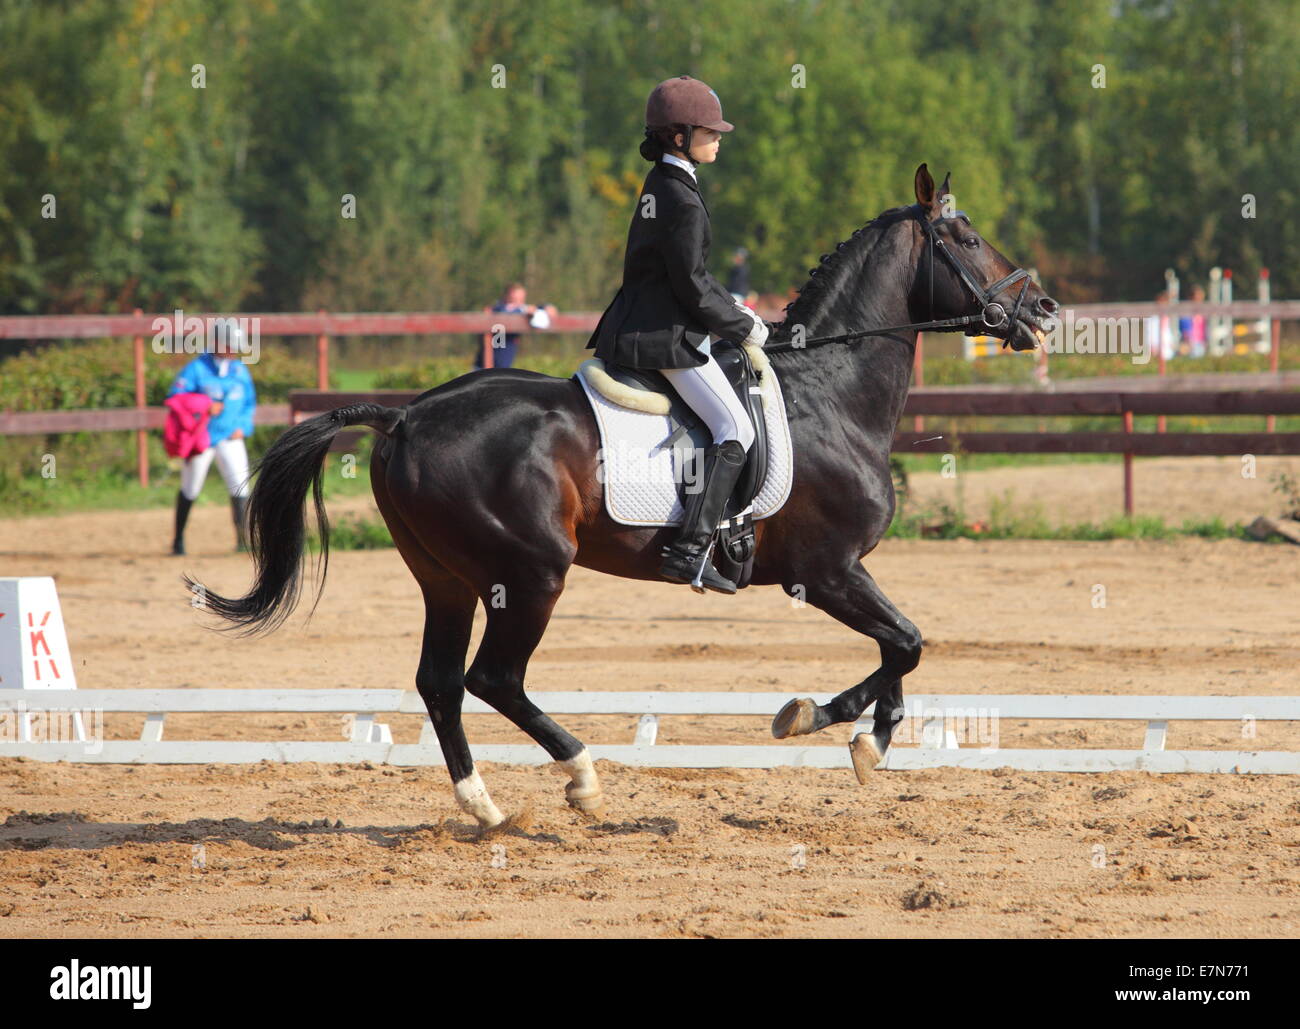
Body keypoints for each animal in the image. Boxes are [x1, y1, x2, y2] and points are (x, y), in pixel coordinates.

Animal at [189, 163, 1057, 829]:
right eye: (967, 239)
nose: (1044, 310)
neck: (832, 391)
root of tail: (405, 414)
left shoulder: (840, 571)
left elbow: (901, 648)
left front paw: (858, 737)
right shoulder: (828, 569)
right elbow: (906, 642)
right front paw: (824, 723)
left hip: (450, 577)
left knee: (440, 682)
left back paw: (486, 807)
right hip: (531, 571)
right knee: (491, 679)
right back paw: (581, 777)